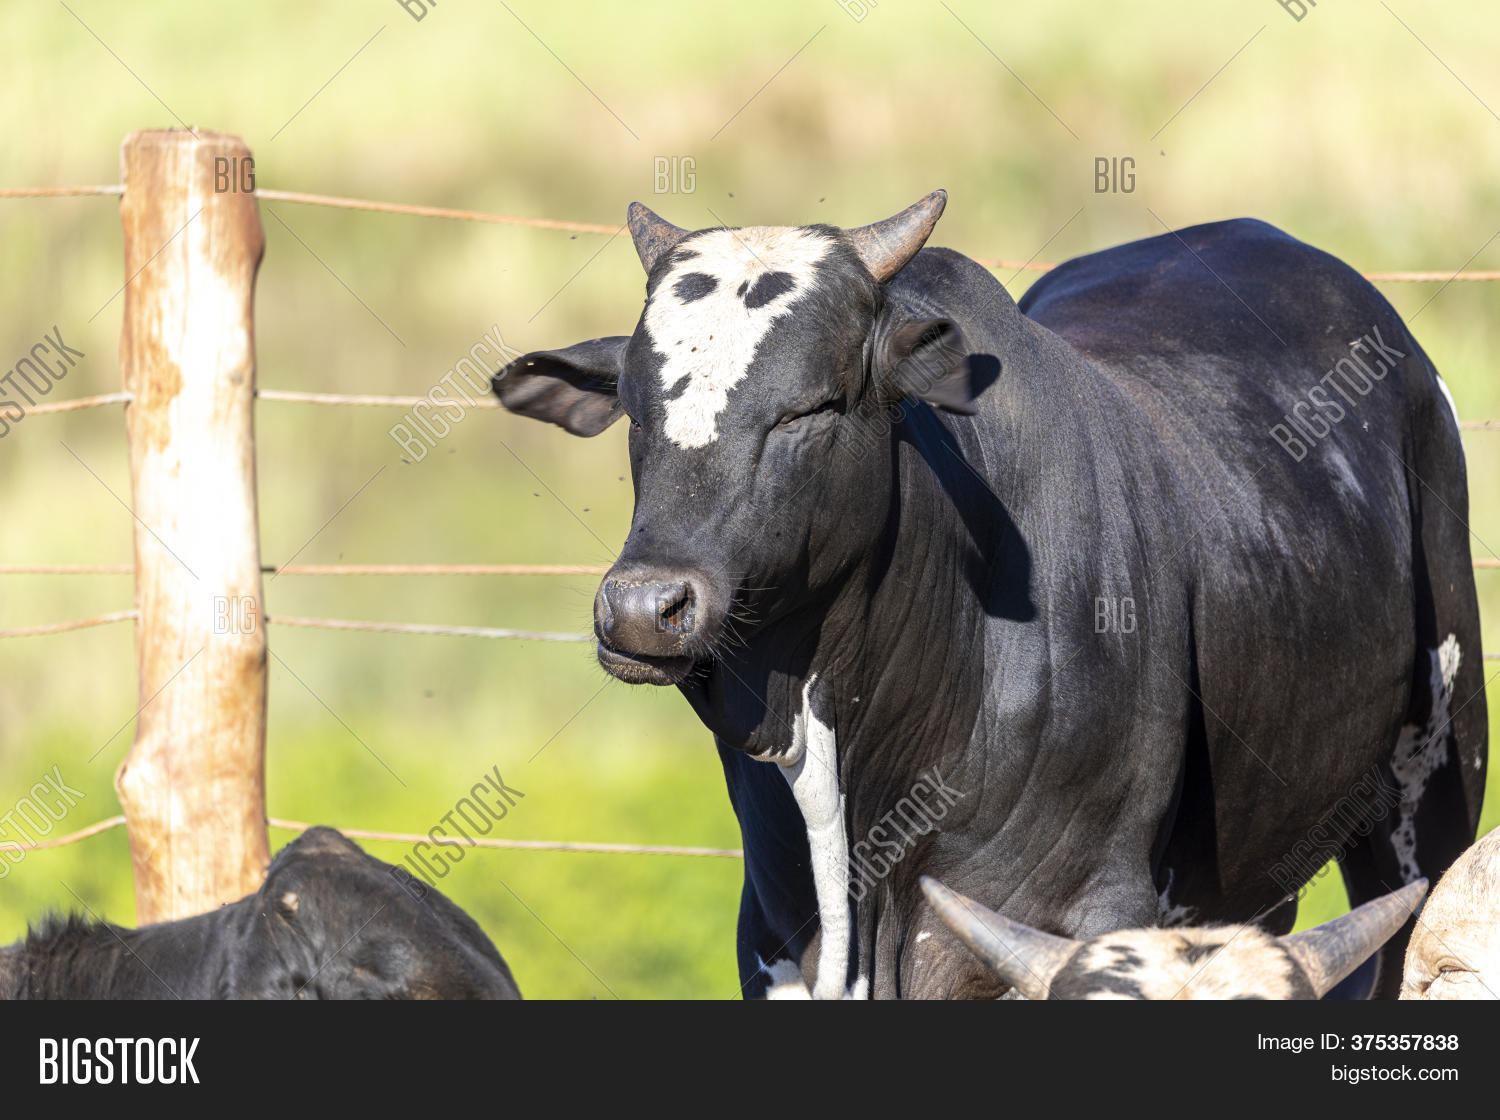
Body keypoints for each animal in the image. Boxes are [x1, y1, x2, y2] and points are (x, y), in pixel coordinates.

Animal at [492, 191, 1486, 999]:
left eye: (811, 406)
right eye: (634, 407)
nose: (644, 608)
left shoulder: (1086, 916)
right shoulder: (774, 941)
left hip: (1433, 781)